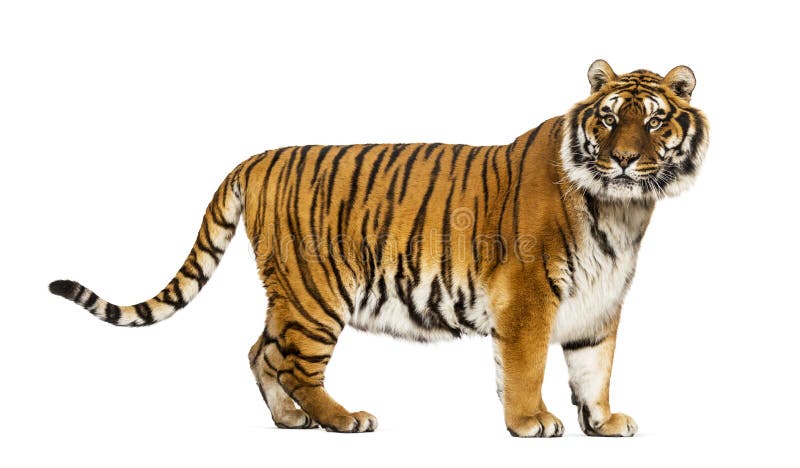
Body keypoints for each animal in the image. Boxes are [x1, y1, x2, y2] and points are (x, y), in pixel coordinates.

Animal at [49, 60, 708, 437]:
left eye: (654, 121)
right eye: (608, 119)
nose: (622, 159)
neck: (622, 209)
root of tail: (256, 158)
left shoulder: (599, 301)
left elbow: (594, 367)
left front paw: (603, 422)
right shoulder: (526, 296)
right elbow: (525, 368)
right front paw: (530, 423)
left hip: (289, 295)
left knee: (260, 352)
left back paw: (291, 420)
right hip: (314, 296)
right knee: (293, 362)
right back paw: (341, 419)